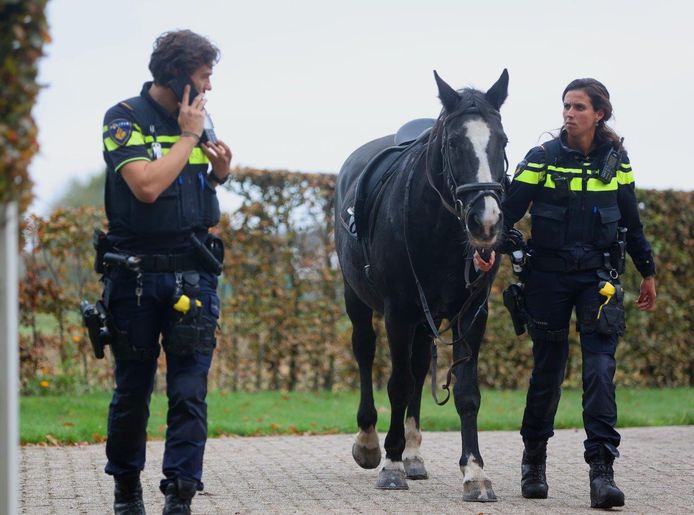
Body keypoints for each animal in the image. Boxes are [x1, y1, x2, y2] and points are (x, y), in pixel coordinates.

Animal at [334, 69, 509, 501]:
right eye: (453, 143)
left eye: (502, 141)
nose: (486, 221)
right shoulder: (398, 312)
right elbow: (398, 384)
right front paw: (390, 465)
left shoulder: (471, 315)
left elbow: (465, 393)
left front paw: (475, 473)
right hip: (357, 299)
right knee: (366, 352)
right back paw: (370, 443)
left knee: (416, 366)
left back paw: (413, 453)